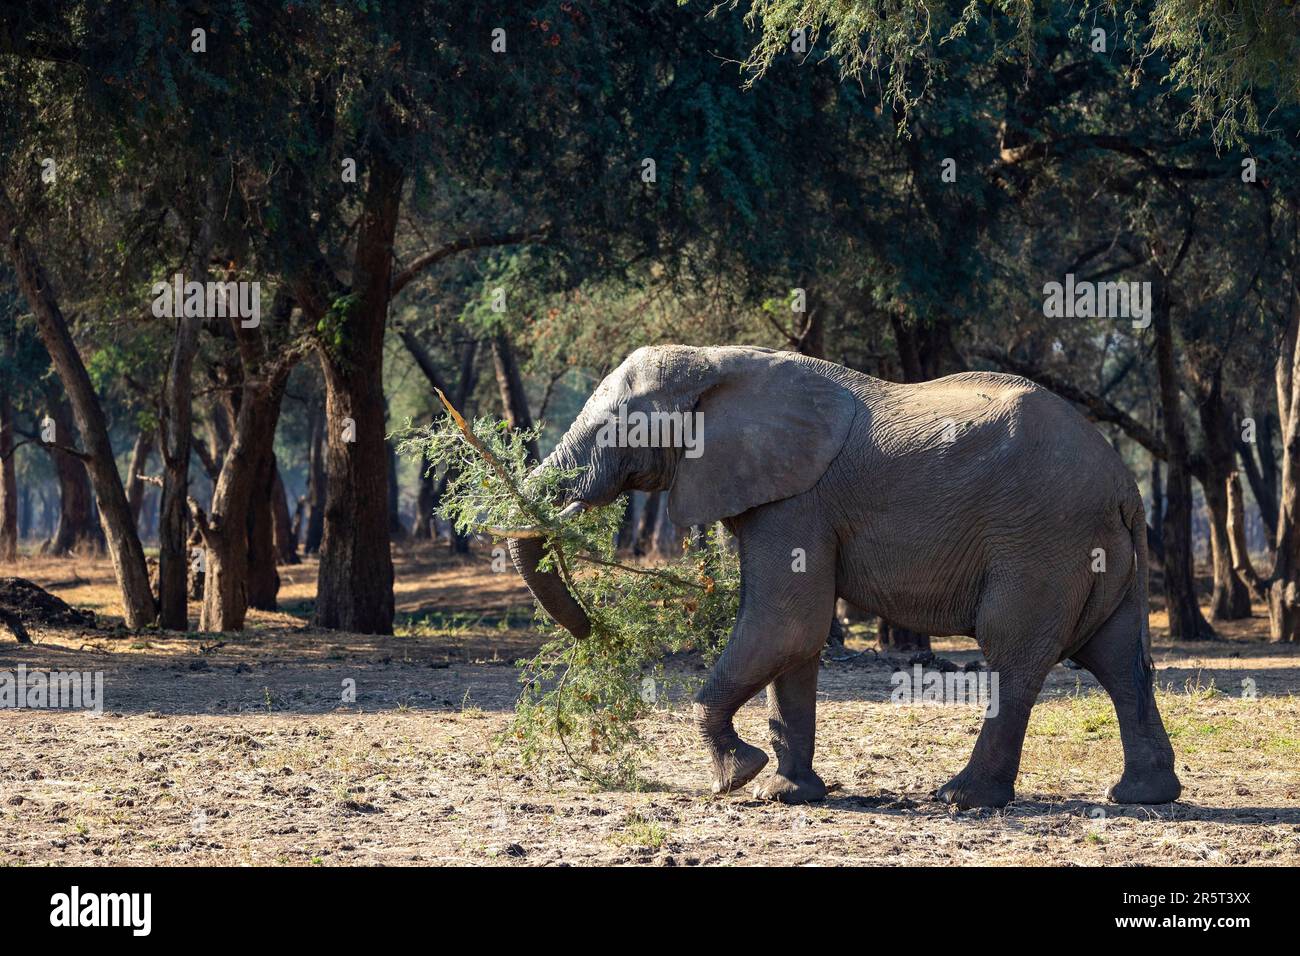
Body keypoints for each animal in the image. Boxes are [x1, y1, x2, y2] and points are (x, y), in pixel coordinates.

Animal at [509, 345, 1181, 809]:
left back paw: (962, 798)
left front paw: (739, 776)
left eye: (618, 426)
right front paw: (786, 793)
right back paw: (1143, 796)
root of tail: (1125, 485)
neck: (718, 360)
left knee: (1015, 654)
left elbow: (785, 625)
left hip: (1042, 539)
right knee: (1118, 659)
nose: (593, 630)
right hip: (1096, 548)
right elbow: (795, 641)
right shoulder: (776, 493)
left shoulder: (796, 498)